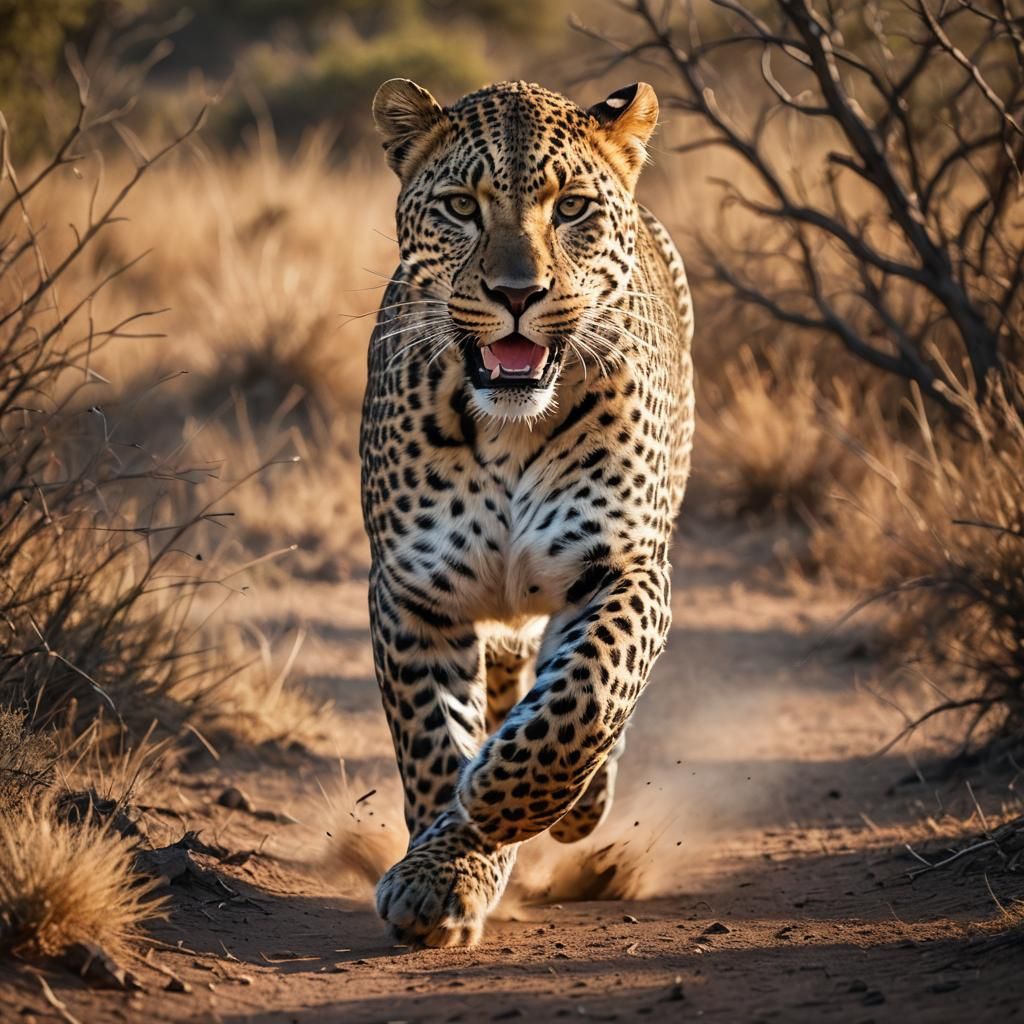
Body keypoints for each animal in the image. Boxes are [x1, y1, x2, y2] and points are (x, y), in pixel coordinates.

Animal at [360, 77, 695, 948]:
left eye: (571, 207)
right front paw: (444, 871)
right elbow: (432, 739)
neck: (511, 428)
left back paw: (579, 802)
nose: (517, 295)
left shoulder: (624, 567)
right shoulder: (415, 590)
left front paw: (498, 804)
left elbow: (586, 695)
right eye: (461, 206)